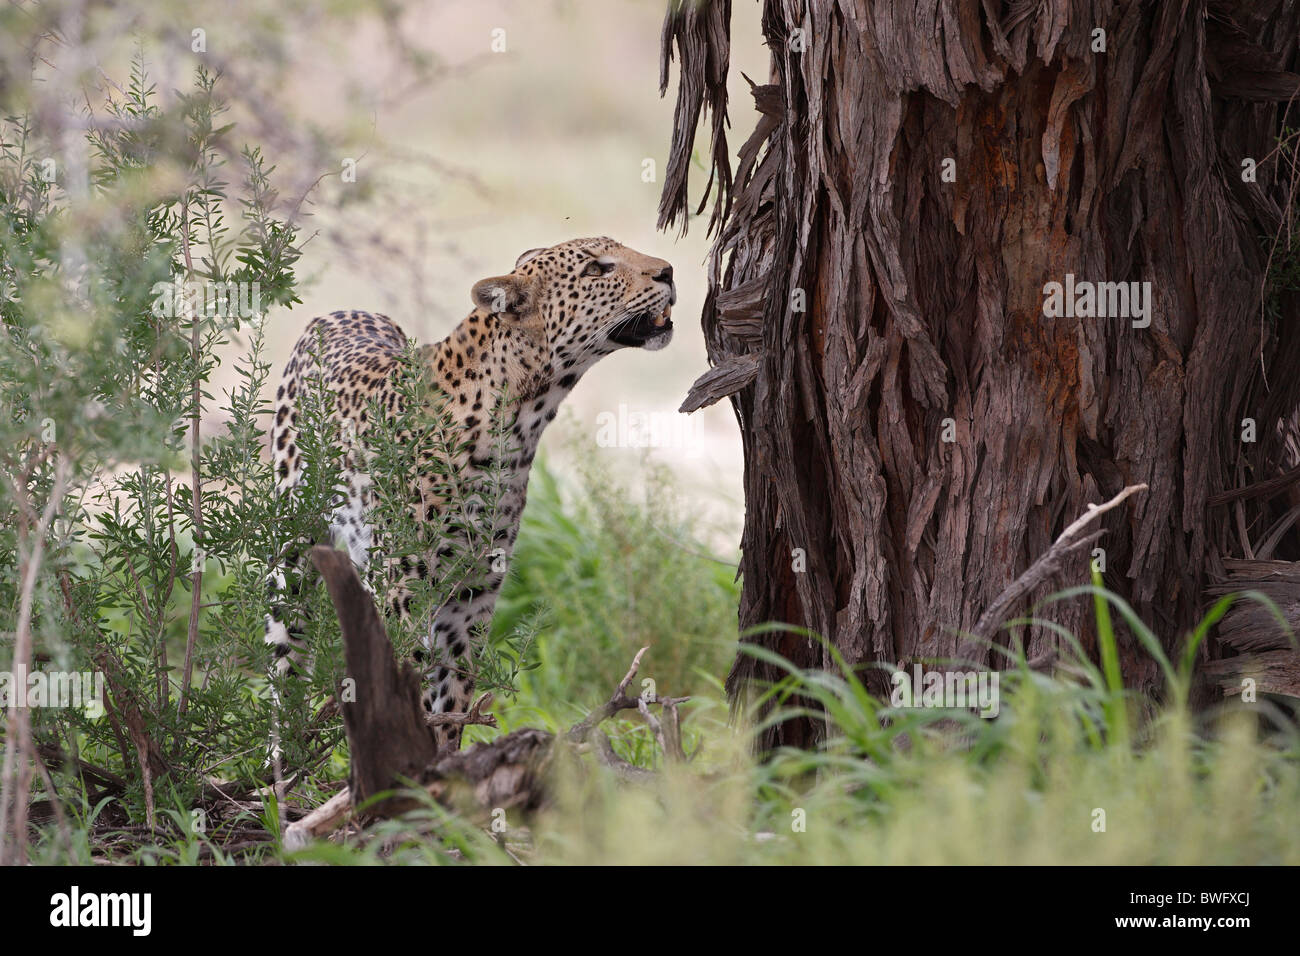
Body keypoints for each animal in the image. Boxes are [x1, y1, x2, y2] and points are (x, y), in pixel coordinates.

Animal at [264, 237, 675, 753]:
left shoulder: (473, 594)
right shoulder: (405, 591)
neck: (521, 421)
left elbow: (453, 700)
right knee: (285, 666)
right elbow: (414, 684)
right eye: (597, 269)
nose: (669, 272)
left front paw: (446, 766)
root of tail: (334, 312)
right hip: (292, 559)